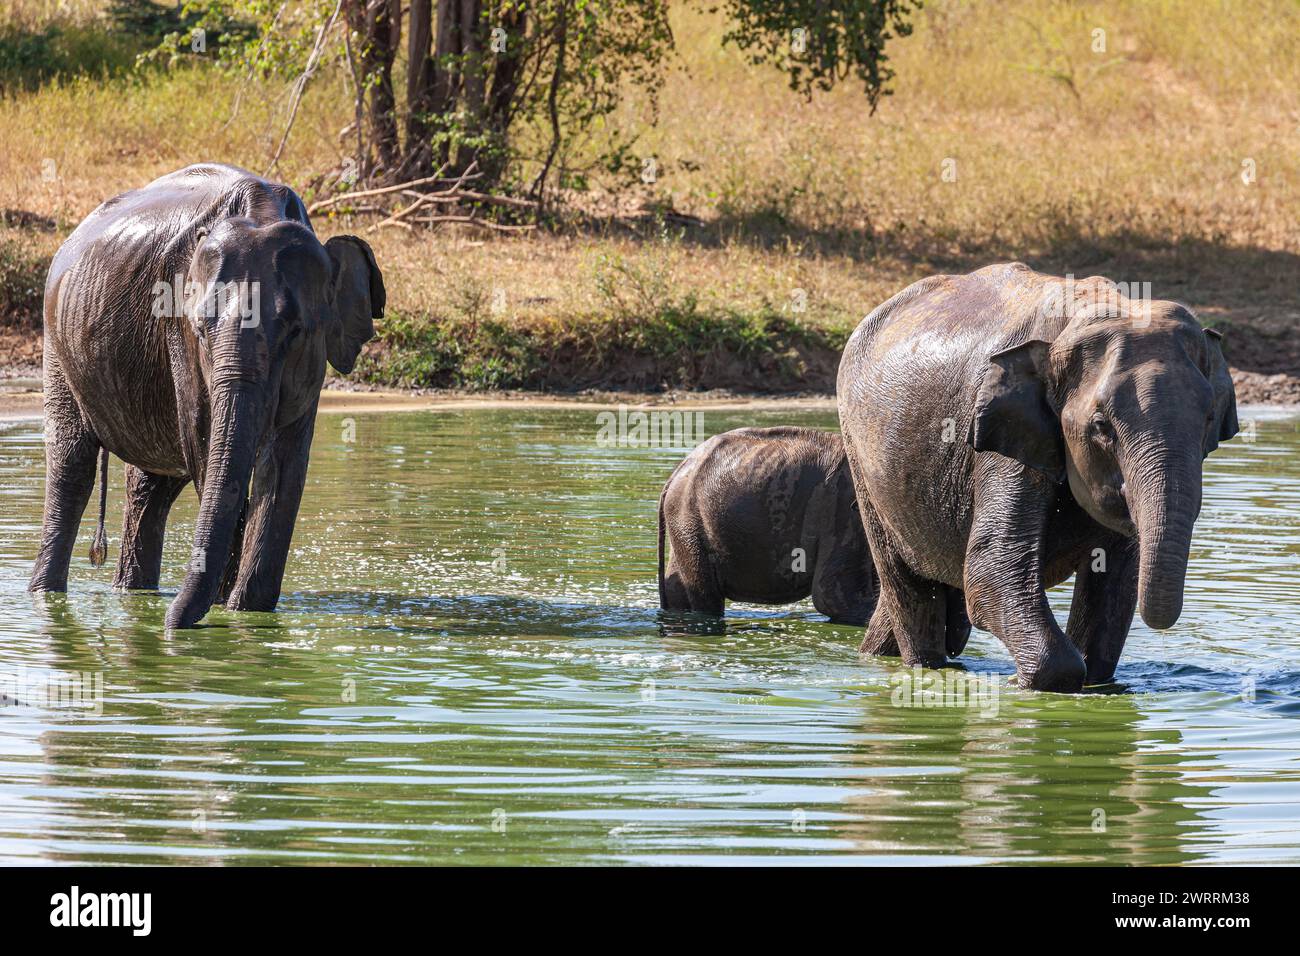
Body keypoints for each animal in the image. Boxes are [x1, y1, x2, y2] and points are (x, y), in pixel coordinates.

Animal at [28, 163, 384, 629]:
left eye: (295, 332)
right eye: (199, 329)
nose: (171, 624)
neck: (260, 209)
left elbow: (284, 467)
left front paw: (247, 614)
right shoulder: (177, 335)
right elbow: (204, 441)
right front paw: (225, 609)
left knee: (150, 488)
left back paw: (134, 594)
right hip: (57, 344)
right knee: (73, 467)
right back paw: (46, 595)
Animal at [837, 262, 1238, 692]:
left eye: (1209, 419)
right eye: (1101, 427)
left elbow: (1115, 583)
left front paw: (1096, 686)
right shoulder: (1001, 439)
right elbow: (989, 569)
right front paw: (1026, 684)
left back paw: (876, 656)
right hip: (862, 461)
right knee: (909, 587)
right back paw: (923, 667)